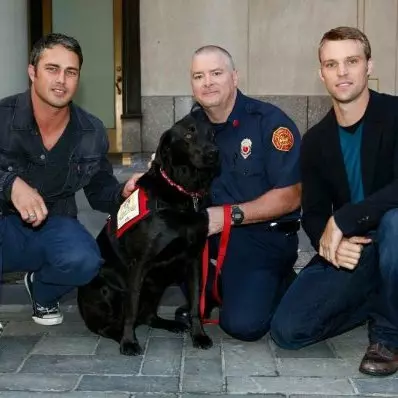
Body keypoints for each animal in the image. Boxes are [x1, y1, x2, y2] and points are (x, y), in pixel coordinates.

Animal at [77, 112, 221, 354]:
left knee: (148, 316)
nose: (214, 152)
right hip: (109, 290)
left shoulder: (193, 261)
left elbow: (195, 306)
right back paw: (120, 336)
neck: (184, 193)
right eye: (188, 134)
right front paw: (129, 342)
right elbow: (131, 309)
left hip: (157, 283)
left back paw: (172, 324)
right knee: (109, 326)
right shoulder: (139, 265)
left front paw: (199, 335)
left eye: (212, 134)